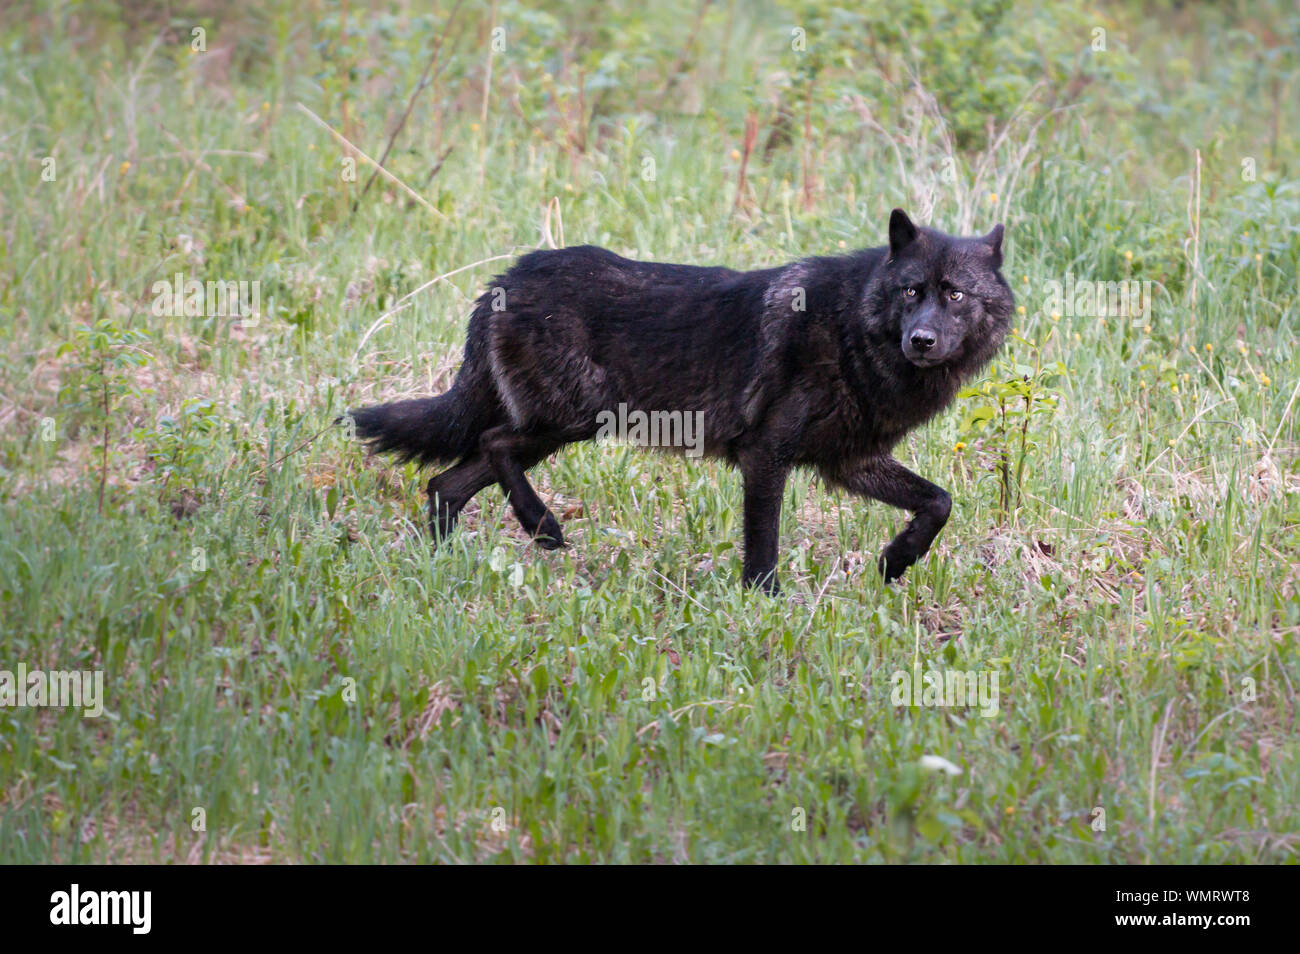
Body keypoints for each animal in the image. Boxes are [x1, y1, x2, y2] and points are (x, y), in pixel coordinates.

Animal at [349, 209, 1013, 592]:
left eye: (954, 294)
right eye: (912, 291)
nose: (920, 340)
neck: (851, 330)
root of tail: (505, 279)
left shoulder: (851, 462)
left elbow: (939, 502)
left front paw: (896, 561)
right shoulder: (765, 456)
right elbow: (763, 547)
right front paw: (764, 606)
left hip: (562, 426)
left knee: (444, 485)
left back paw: (446, 565)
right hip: (573, 420)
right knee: (491, 445)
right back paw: (543, 527)